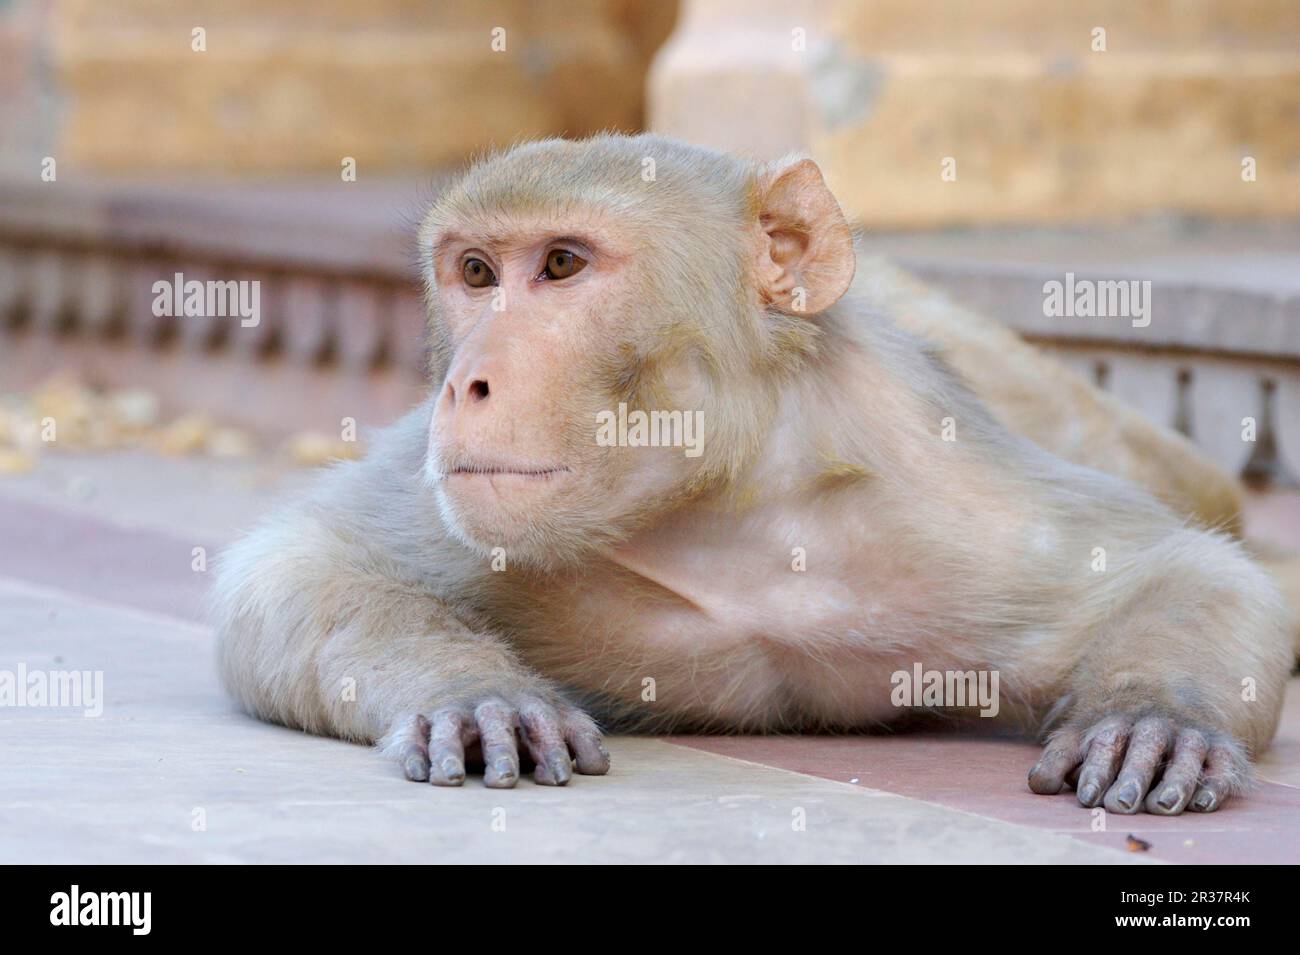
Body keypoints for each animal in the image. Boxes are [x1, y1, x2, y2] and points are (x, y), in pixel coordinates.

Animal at [212, 133, 1293, 814]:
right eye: (474, 273)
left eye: (560, 265)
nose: (464, 381)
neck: (733, 507)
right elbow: (290, 564)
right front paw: (477, 695)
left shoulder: (954, 504)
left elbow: (1189, 572)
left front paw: (1154, 716)